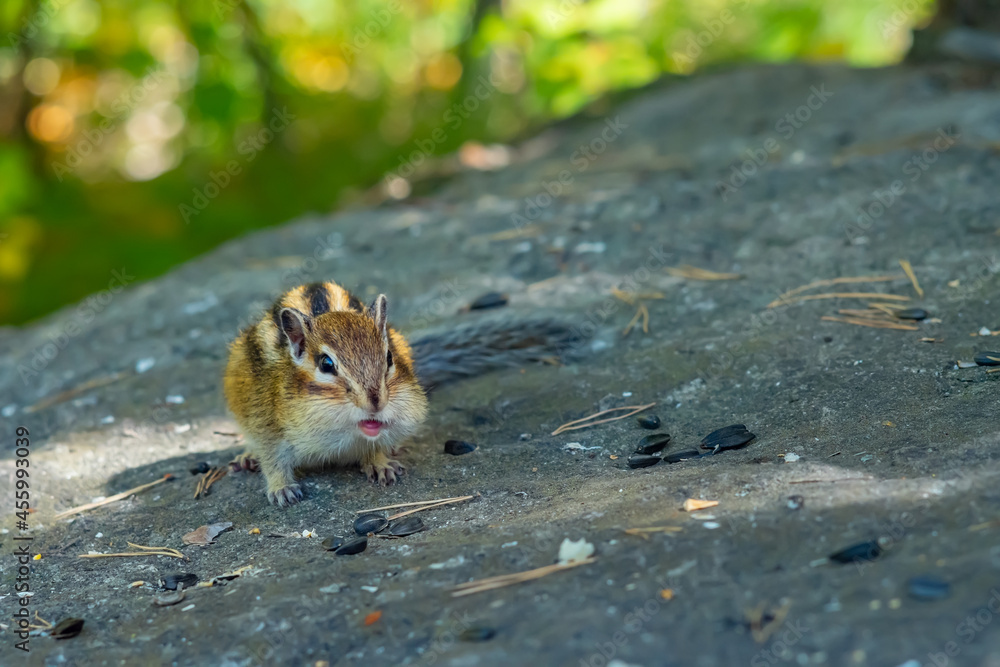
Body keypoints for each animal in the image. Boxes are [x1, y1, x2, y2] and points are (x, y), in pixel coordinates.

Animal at [223, 280, 578, 506]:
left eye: (390, 358)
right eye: (325, 364)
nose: (376, 403)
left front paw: (381, 462)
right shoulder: (265, 420)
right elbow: (273, 457)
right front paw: (281, 488)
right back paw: (246, 457)